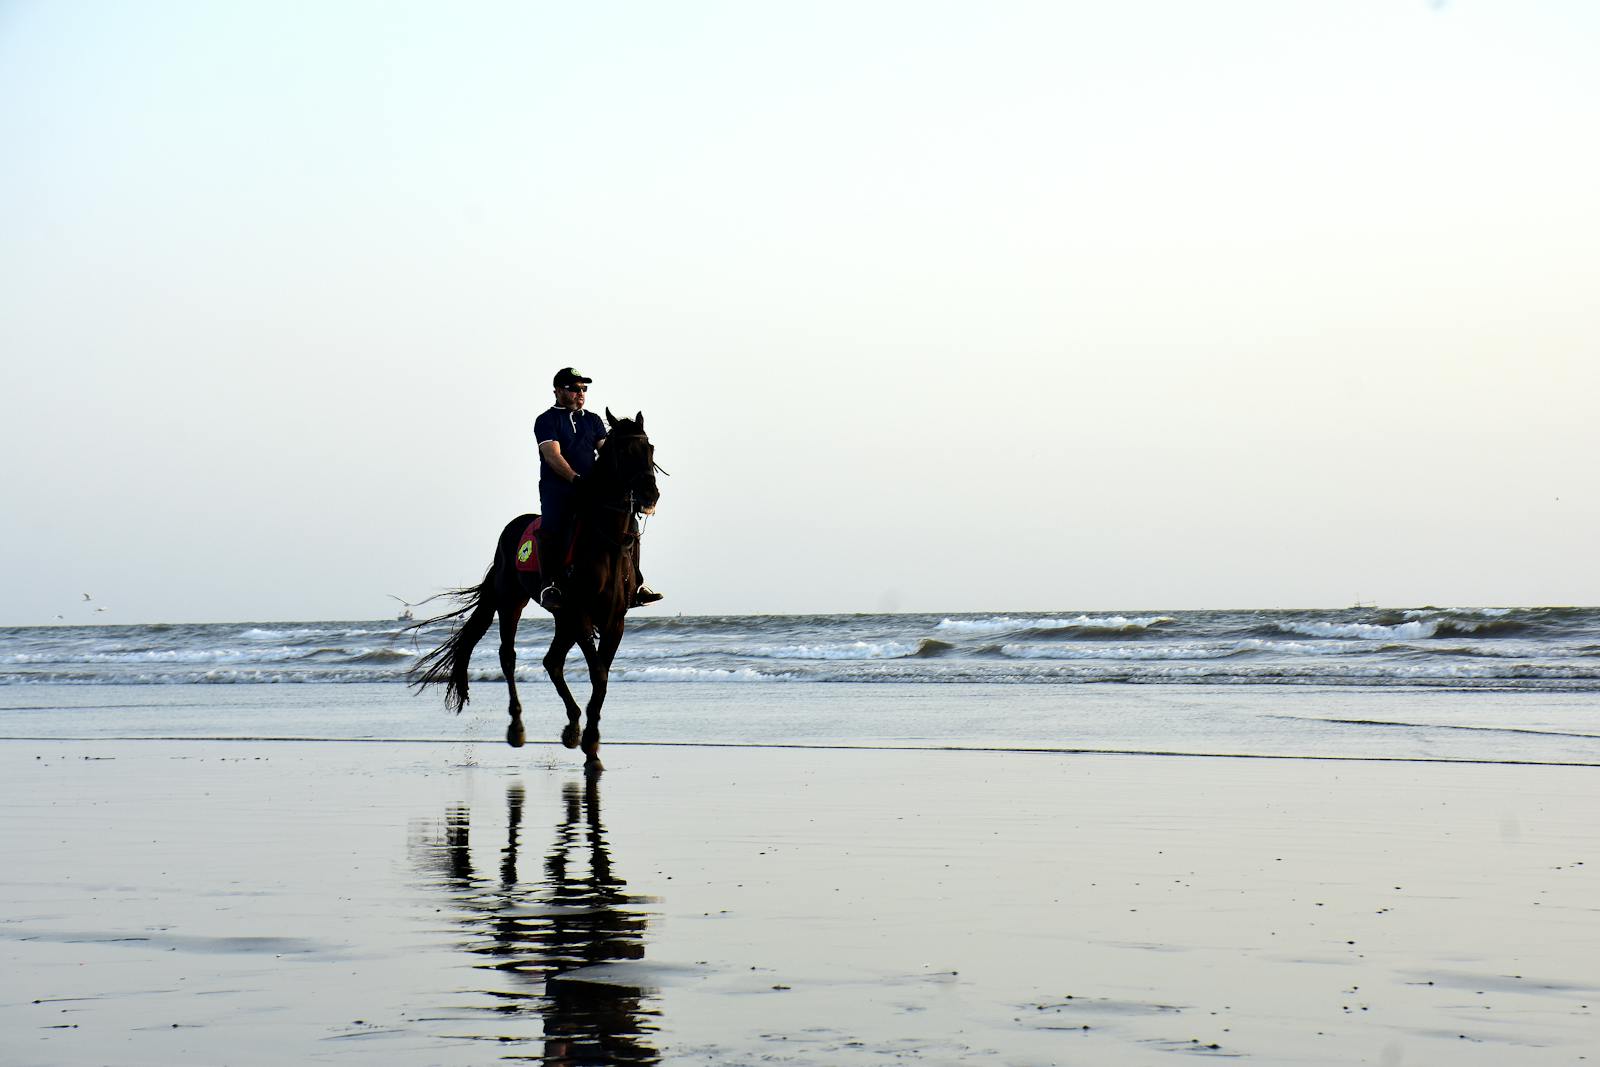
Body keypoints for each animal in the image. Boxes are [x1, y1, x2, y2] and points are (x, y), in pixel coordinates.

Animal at [409, 410, 661, 772]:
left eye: (650, 448)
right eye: (625, 451)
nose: (649, 495)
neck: (605, 543)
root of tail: (511, 530)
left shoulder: (615, 621)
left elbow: (601, 677)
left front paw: (589, 744)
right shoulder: (581, 614)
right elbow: (598, 674)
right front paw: (591, 743)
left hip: (561, 617)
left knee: (552, 661)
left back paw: (571, 726)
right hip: (512, 601)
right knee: (509, 657)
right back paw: (517, 728)